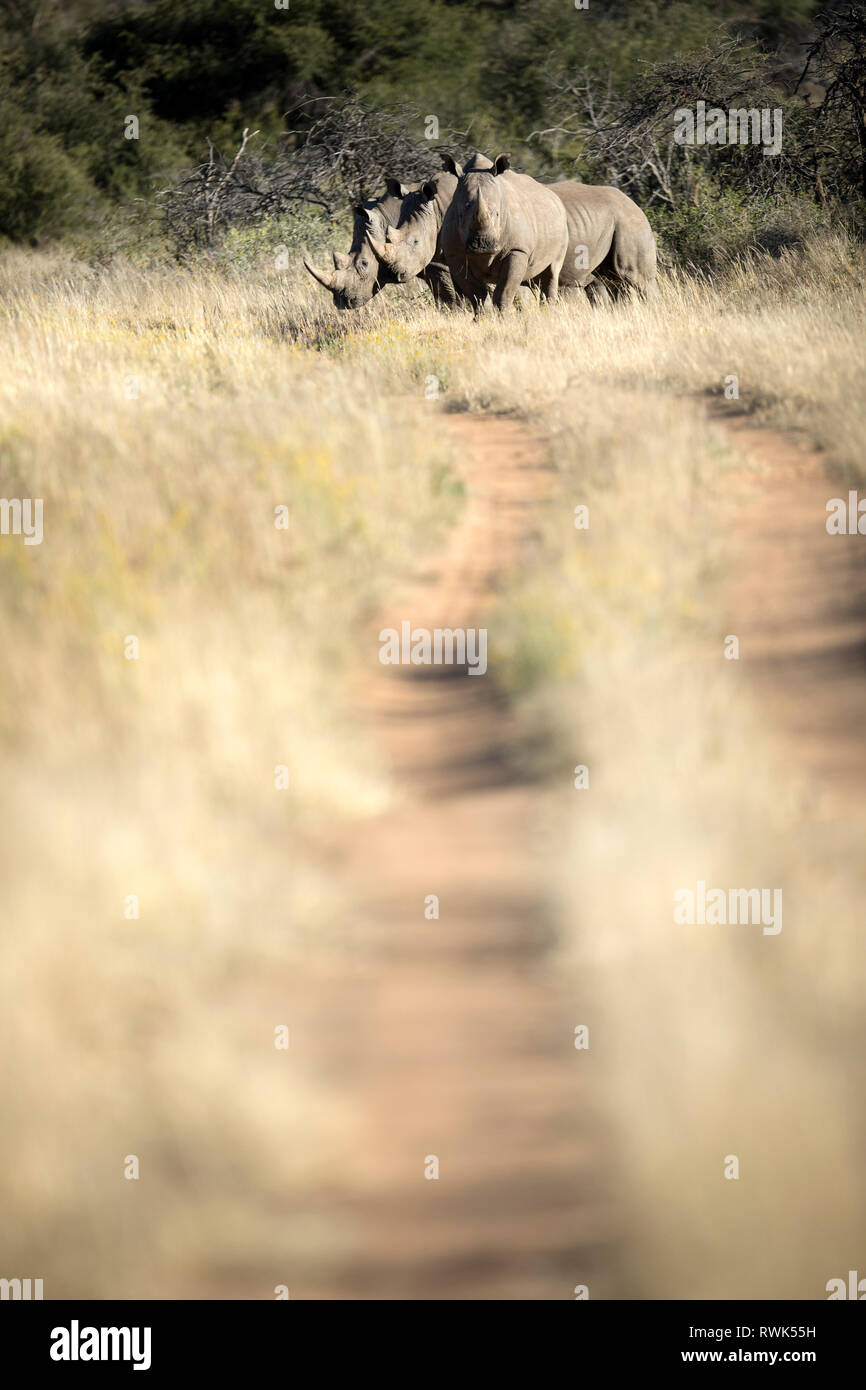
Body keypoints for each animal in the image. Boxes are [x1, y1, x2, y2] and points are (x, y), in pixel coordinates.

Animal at [303, 179, 459, 311]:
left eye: (365, 263)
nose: (342, 302)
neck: (387, 218)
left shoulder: (436, 261)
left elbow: (447, 292)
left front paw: (453, 312)